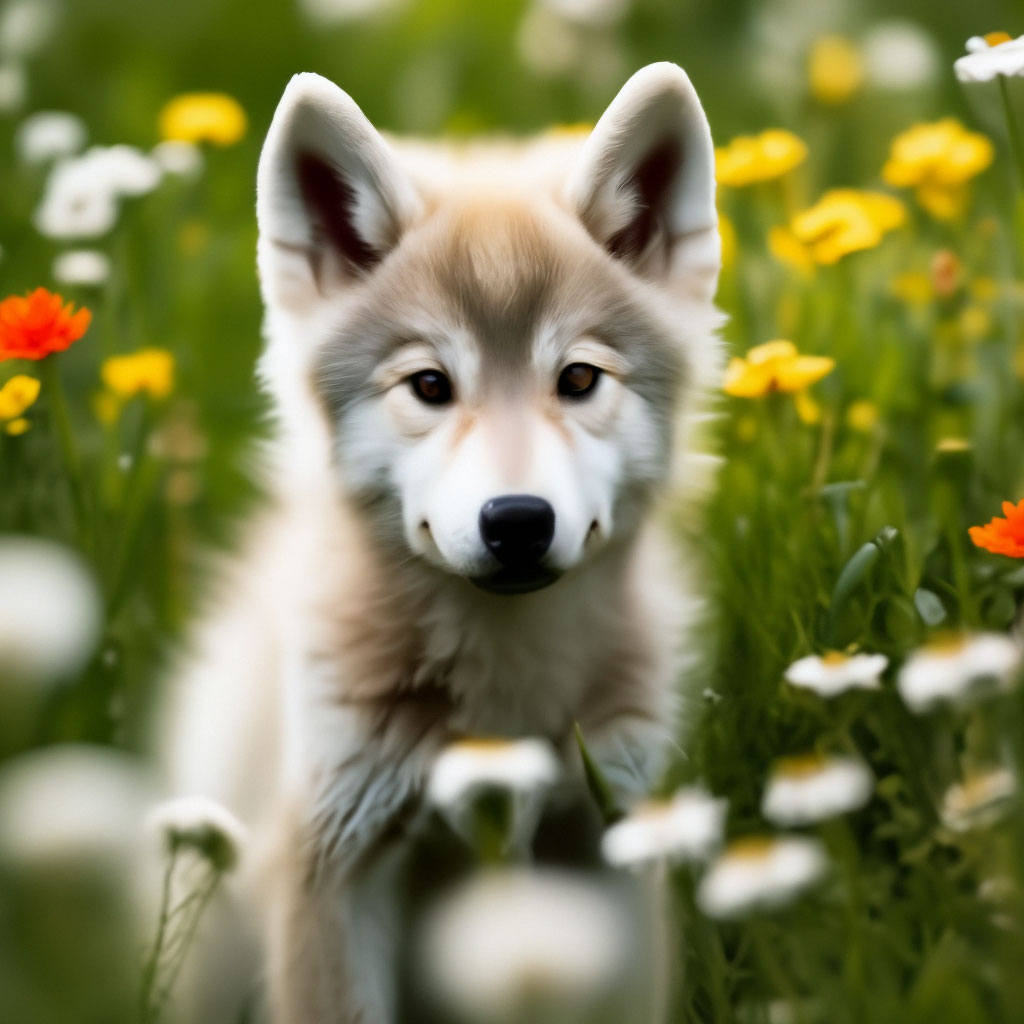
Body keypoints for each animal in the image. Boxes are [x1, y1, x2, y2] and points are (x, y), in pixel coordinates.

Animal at [161, 62, 722, 1023]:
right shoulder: (333, 860)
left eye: (579, 378)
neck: (503, 694)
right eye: (429, 385)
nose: (518, 520)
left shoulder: (607, 837)